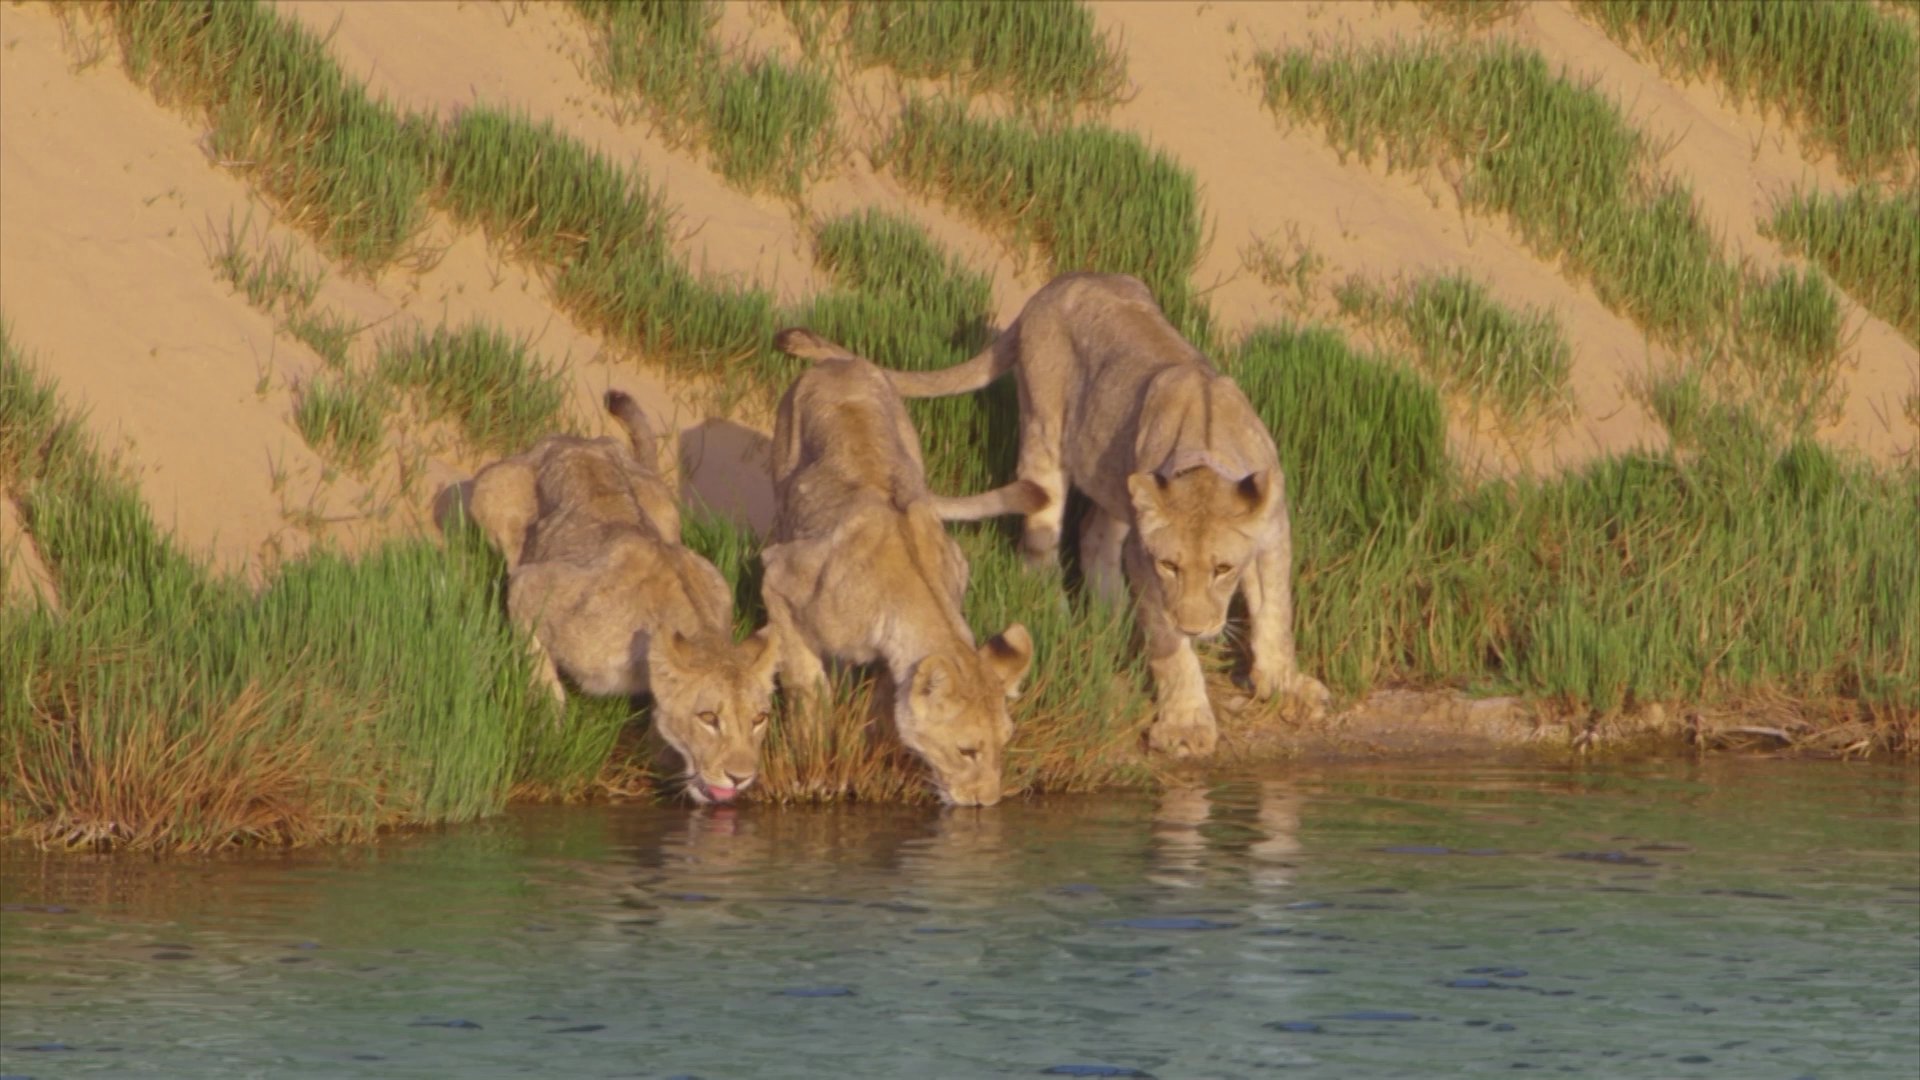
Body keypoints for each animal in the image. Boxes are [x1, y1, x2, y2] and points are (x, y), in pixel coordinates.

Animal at [467, 390, 777, 804]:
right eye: (709, 718)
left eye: (759, 719)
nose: (740, 777)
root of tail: (571, 438)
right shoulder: (528, 589)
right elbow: (545, 684)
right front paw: (551, 736)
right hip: (490, 489)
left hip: (665, 509)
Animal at [759, 331, 1041, 806]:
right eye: (967, 751)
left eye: (1004, 743)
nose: (986, 803)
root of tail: (844, 362)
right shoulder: (778, 577)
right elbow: (806, 684)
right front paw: (813, 756)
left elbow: (885, 700)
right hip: (783, 486)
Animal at [879, 273, 1329, 757]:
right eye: (1170, 566)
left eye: (1223, 568)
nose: (1193, 627)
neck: (1205, 464)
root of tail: (1053, 287)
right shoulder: (1145, 559)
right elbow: (1171, 650)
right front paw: (1185, 724)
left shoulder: (1273, 534)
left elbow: (1276, 612)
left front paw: (1285, 685)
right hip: (1044, 435)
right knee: (1041, 539)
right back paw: (1060, 613)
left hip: (1116, 473)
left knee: (1094, 532)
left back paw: (1113, 619)